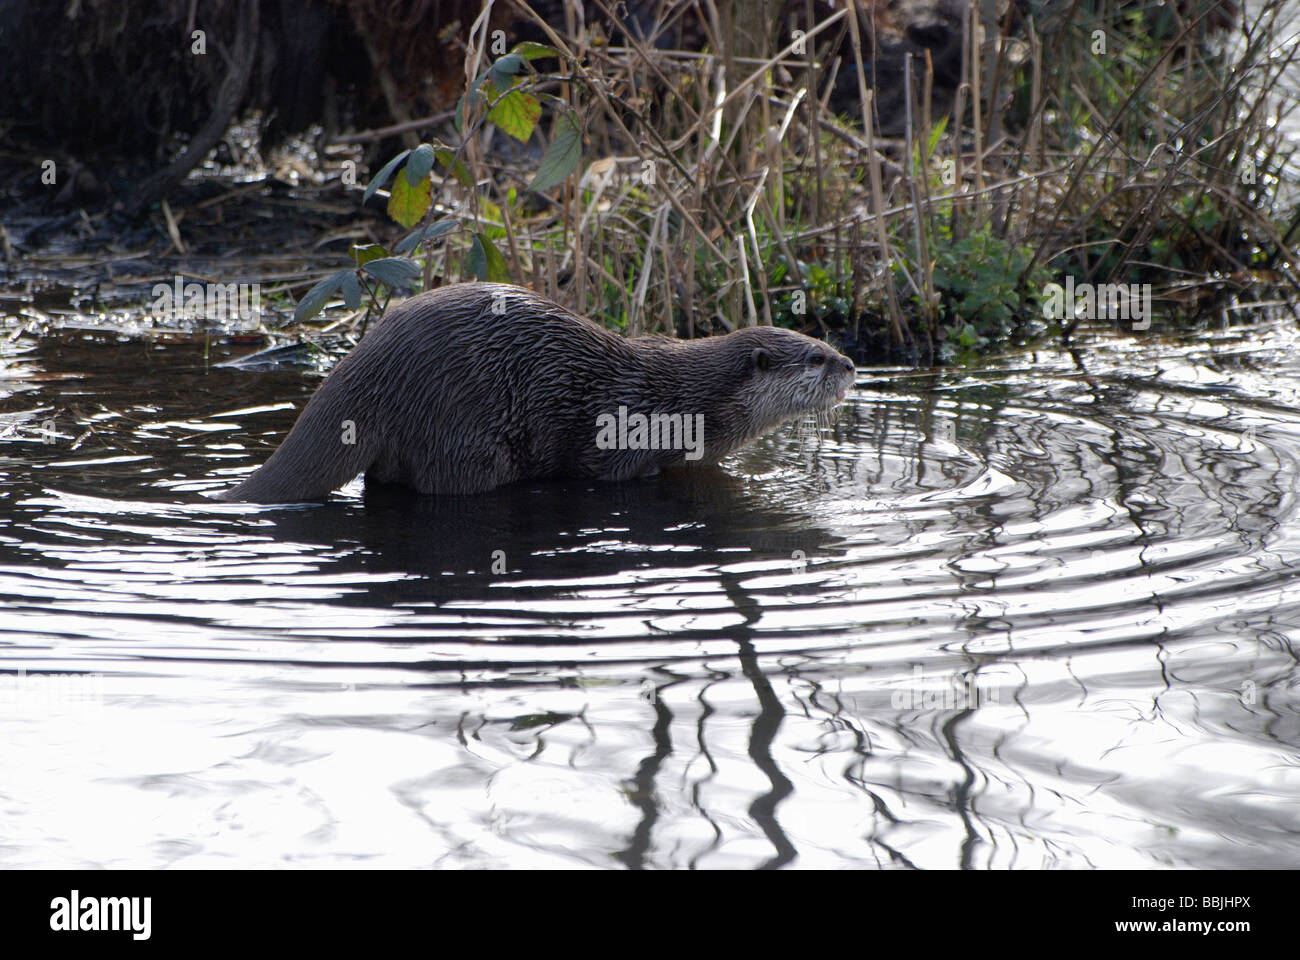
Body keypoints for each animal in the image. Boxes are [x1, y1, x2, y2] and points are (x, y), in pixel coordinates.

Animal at [217, 282, 855, 502]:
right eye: (816, 357)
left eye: (821, 340)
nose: (850, 364)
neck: (686, 402)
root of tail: (370, 364)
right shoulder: (621, 437)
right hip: (466, 433)